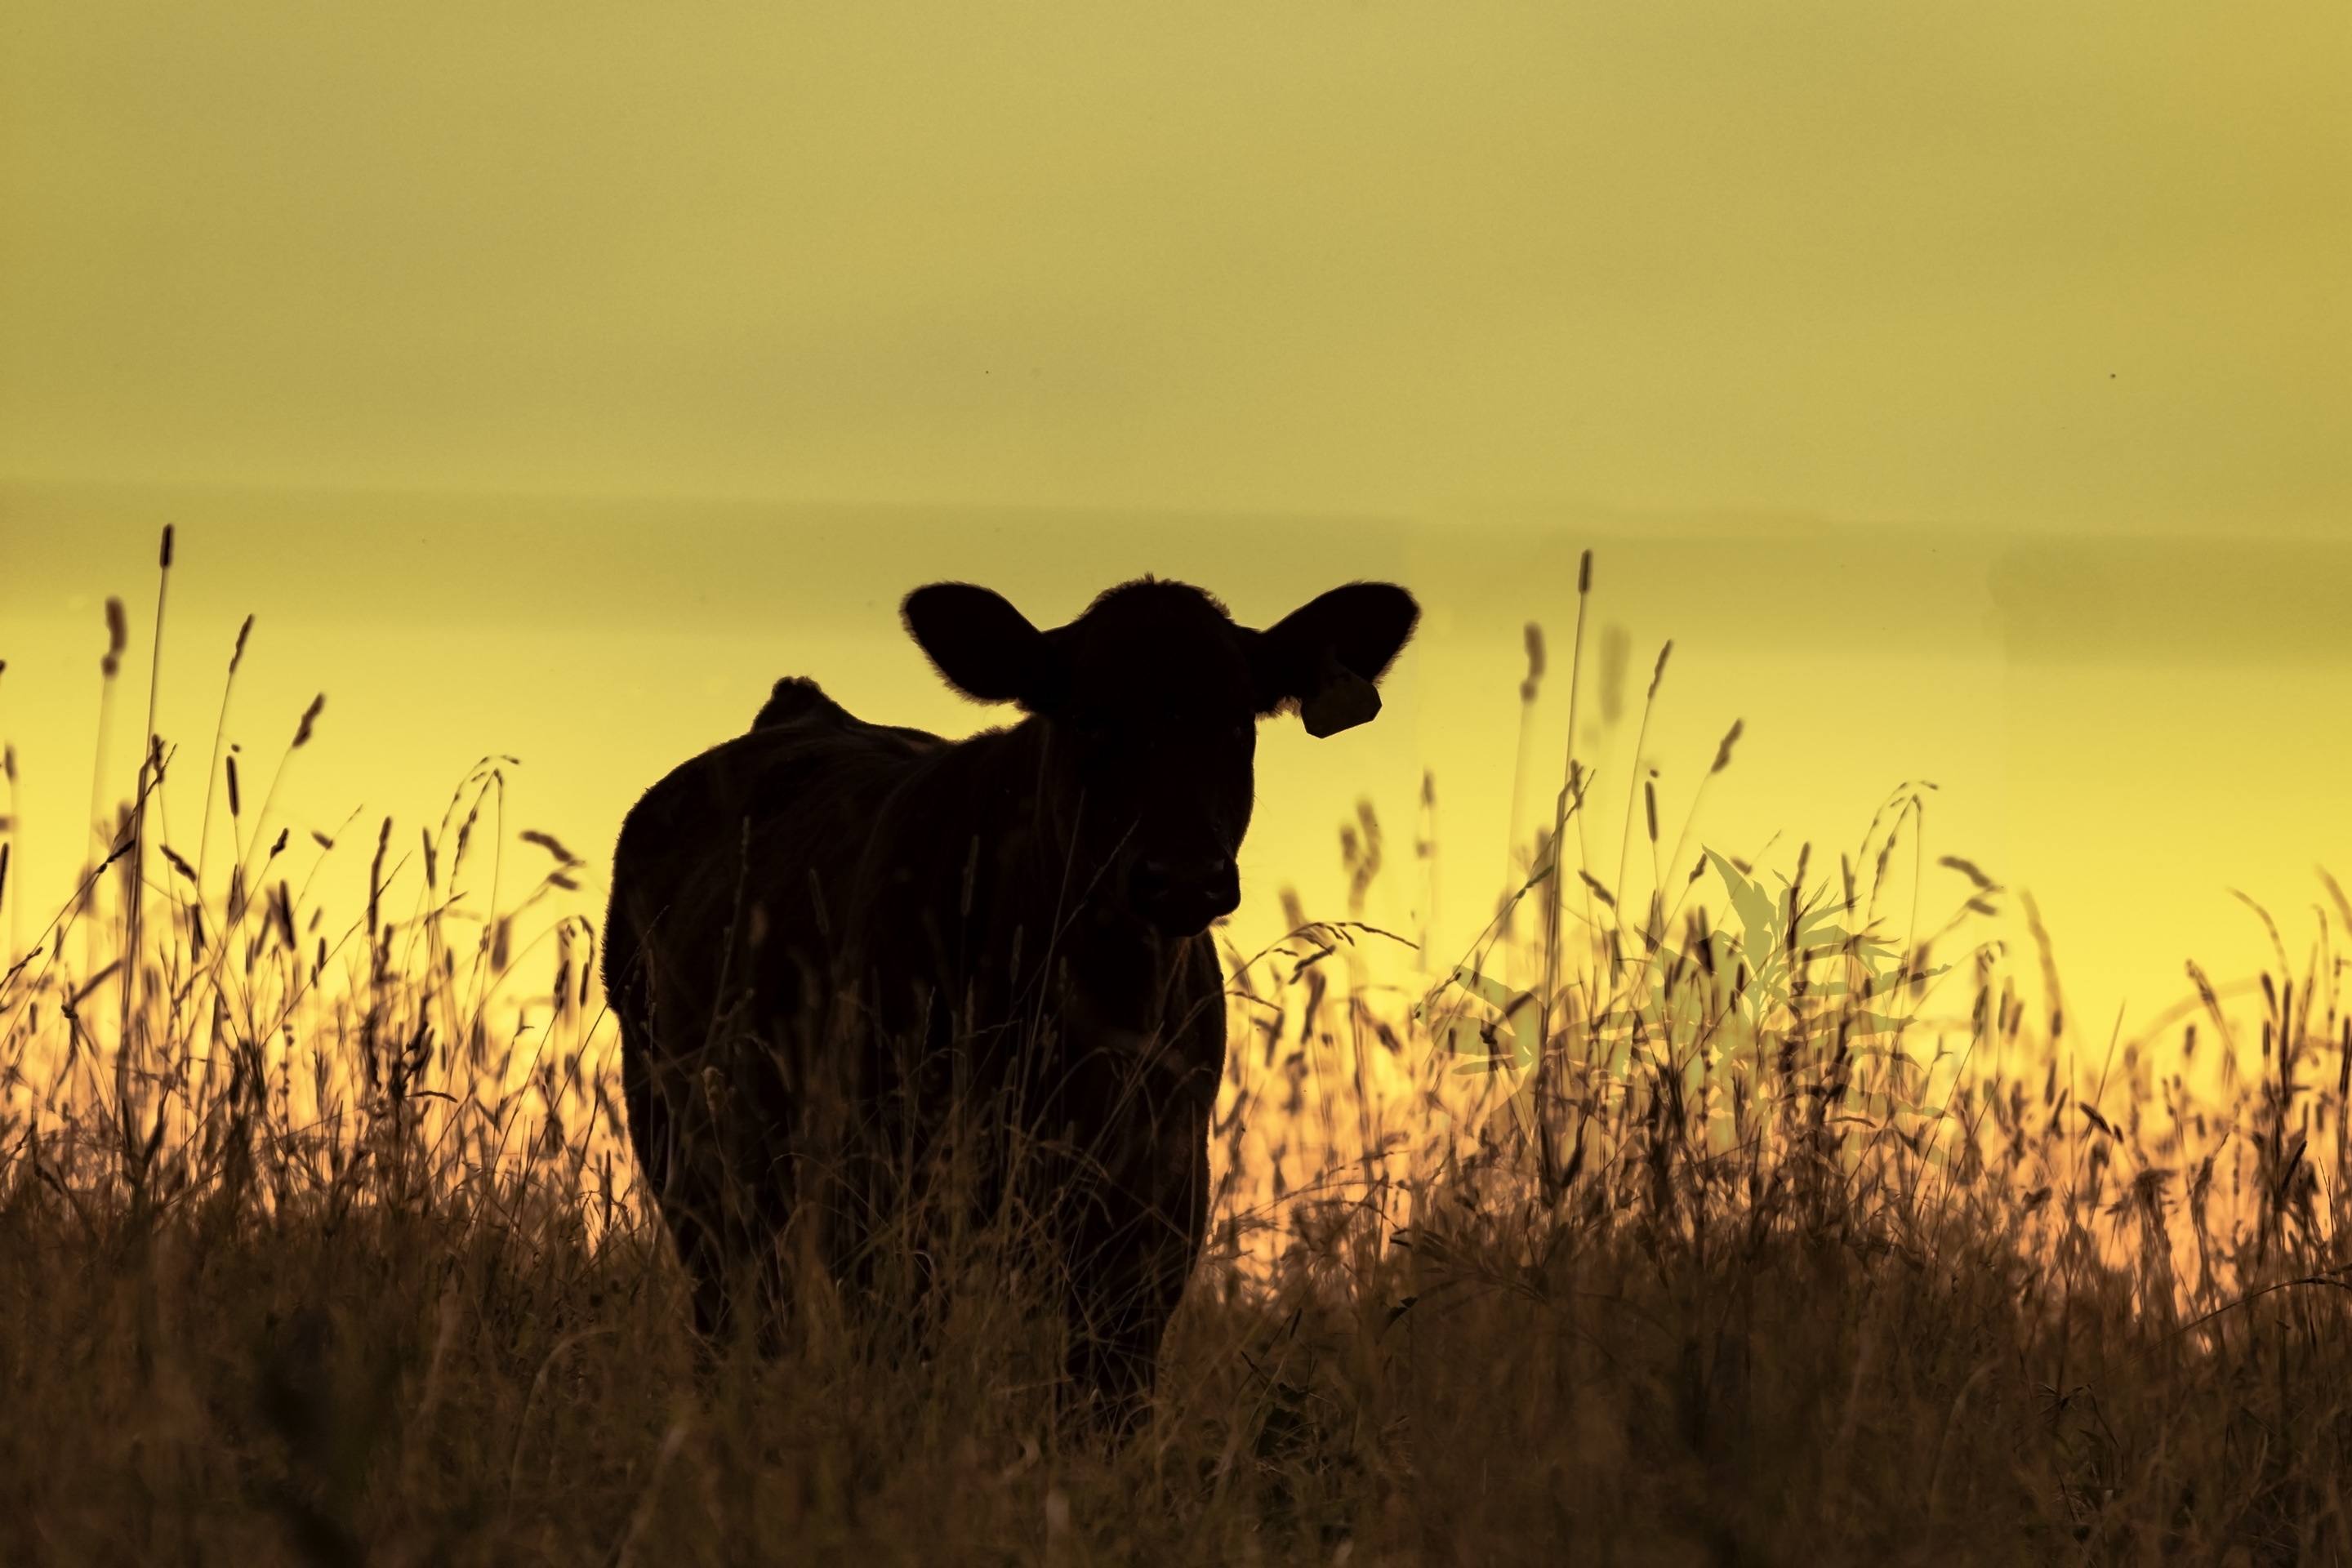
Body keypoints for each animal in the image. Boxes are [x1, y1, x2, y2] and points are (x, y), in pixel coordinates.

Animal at [602, 575, 1418, 1421]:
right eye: (1089, 717)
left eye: (1237, 721)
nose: (1184, 876)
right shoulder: (886, 1187)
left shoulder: (1155, 1212)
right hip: (687, 1143)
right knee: (738, 1309)